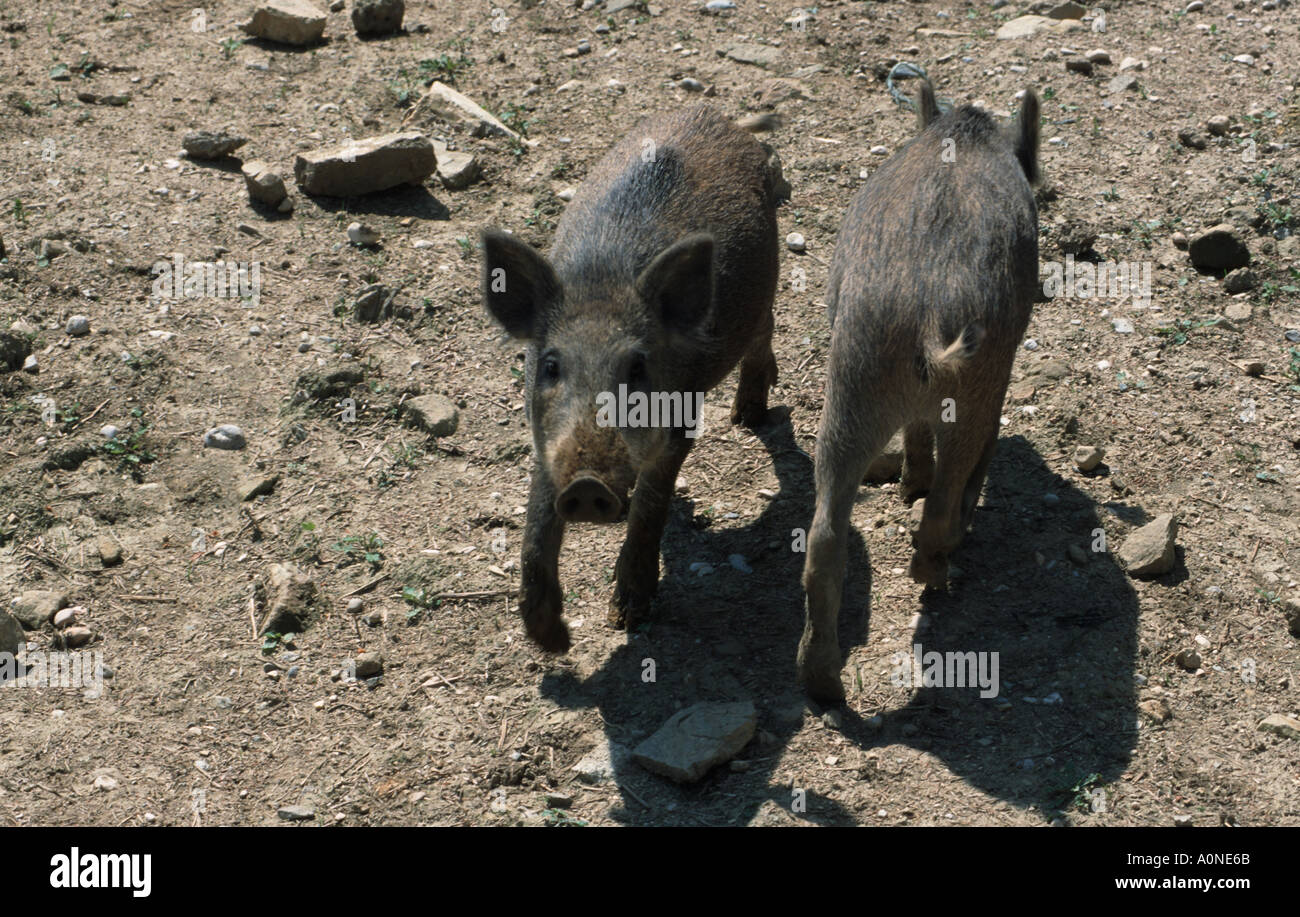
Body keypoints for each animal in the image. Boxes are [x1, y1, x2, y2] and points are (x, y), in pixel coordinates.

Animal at [480, 104, 788, 653]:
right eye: (552, 366)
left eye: (638, 367)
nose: (586, 485)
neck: (603, 285)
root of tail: (718, 117)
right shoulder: (545, 434)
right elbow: (535, 527)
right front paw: (554, 642)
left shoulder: (682, 416)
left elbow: (650, 504)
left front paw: (625, 617)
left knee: (764, 334)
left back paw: (748, 417)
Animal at [798, 82, 1041, 703]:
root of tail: (929, 317)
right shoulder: (998, 379)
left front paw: (906, 484)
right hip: (973, 388)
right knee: (946, 497)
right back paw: (939, 570)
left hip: (851, 389)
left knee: (825, 537)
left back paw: (820, 684)